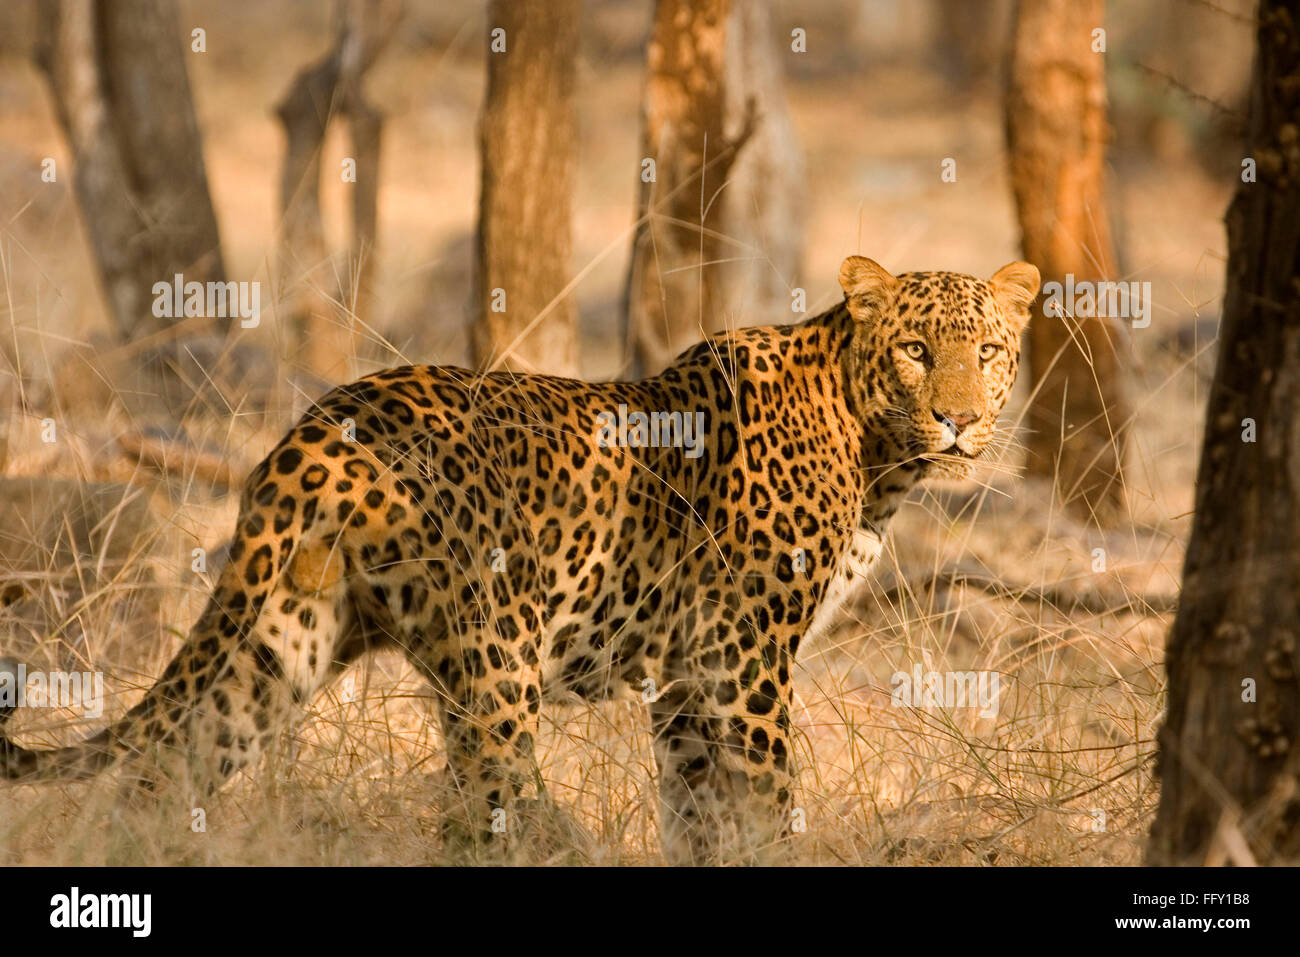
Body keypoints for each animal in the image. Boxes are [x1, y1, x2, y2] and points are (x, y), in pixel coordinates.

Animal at [0, 255, 1039, 863]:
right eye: (916, 350)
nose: (960, 419)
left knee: (164, 773)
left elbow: (697, 809)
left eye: (988, 352)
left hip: (286, 636)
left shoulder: (686, 680)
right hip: (496, 654)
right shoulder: (740, 655)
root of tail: (321, 424)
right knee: (481, 804)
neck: (878, 455)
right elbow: (769, 794)